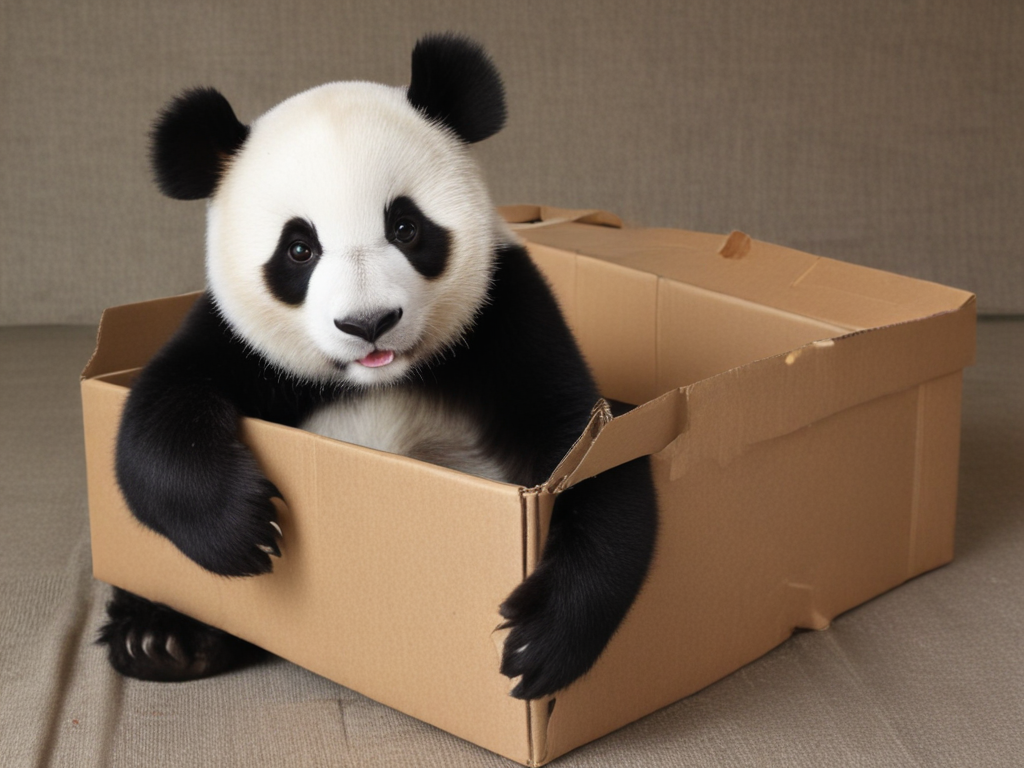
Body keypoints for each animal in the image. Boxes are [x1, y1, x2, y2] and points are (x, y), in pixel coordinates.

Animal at [98, 34, 657, 701]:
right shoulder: (238, 342)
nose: (368, 323)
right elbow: (158, 415)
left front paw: (540, 638)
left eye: (406, 226)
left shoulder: (506, 318)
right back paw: (160, 638)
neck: (381, 381)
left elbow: (589, 446)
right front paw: (247, 531)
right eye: (299, 248)